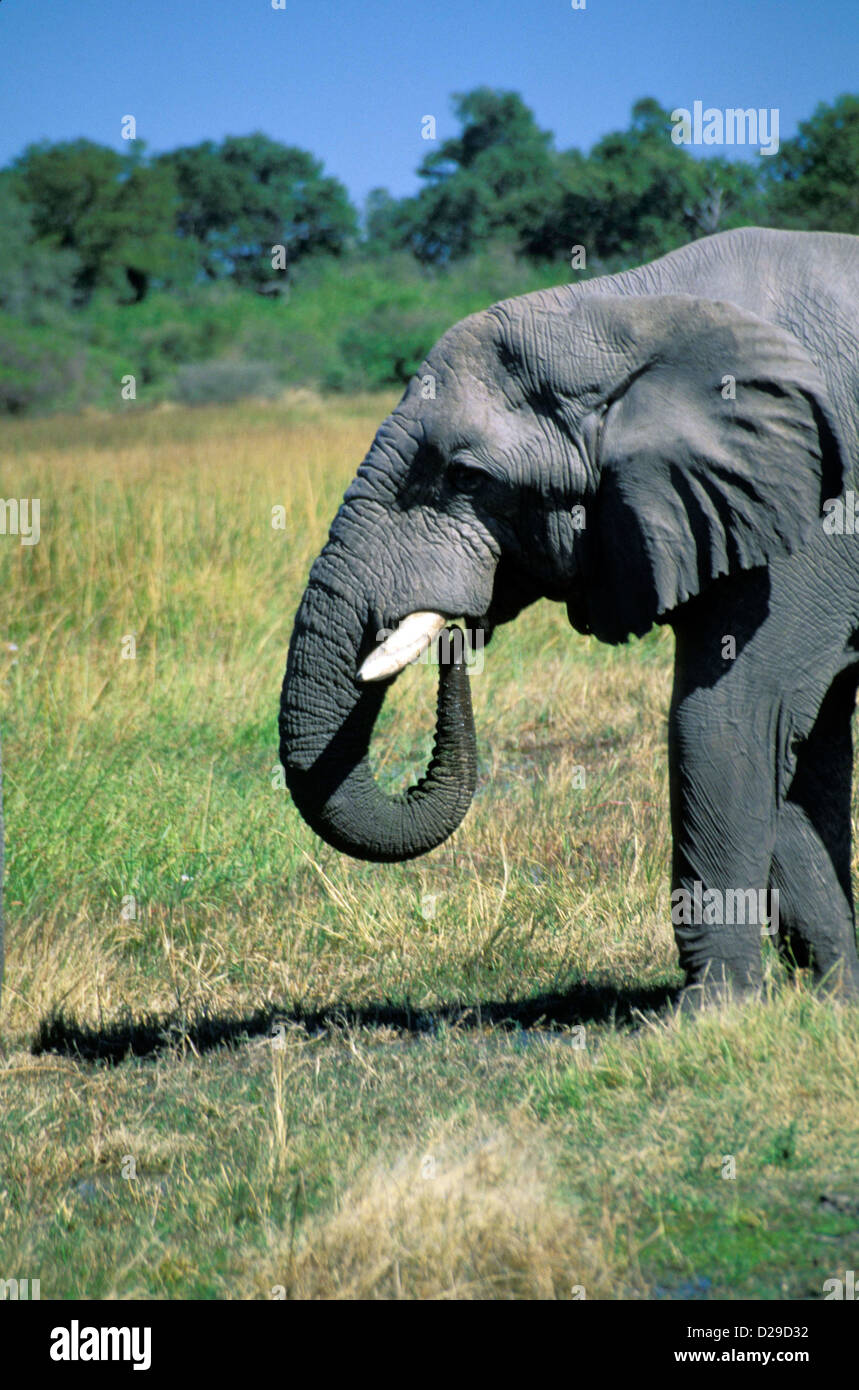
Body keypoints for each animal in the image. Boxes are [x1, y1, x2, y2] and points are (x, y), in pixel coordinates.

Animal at [279, 226, 859, 1005]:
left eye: (466, 478)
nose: (456, 644)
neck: (624, 310)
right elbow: (796, 754)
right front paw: (832, 1003)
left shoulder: (815, 511)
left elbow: (728, 718)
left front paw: (711, 1012)